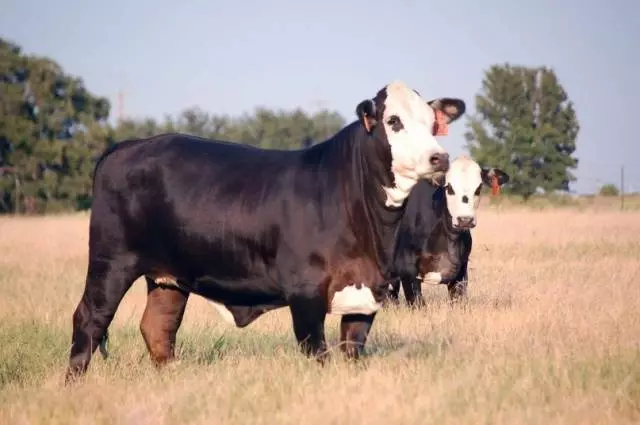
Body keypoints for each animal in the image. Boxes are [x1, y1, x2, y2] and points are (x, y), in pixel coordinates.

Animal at [65, 80, 464, 380]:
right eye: (393, 121)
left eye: (432, 123)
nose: (439, 157)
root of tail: (127, 145)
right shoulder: (305, 293)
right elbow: (317, 352)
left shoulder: (367, 294)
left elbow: (352, 350)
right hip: (111, 261)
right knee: (89, 319)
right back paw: (74, 383)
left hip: (168, 277)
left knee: (158, 328)